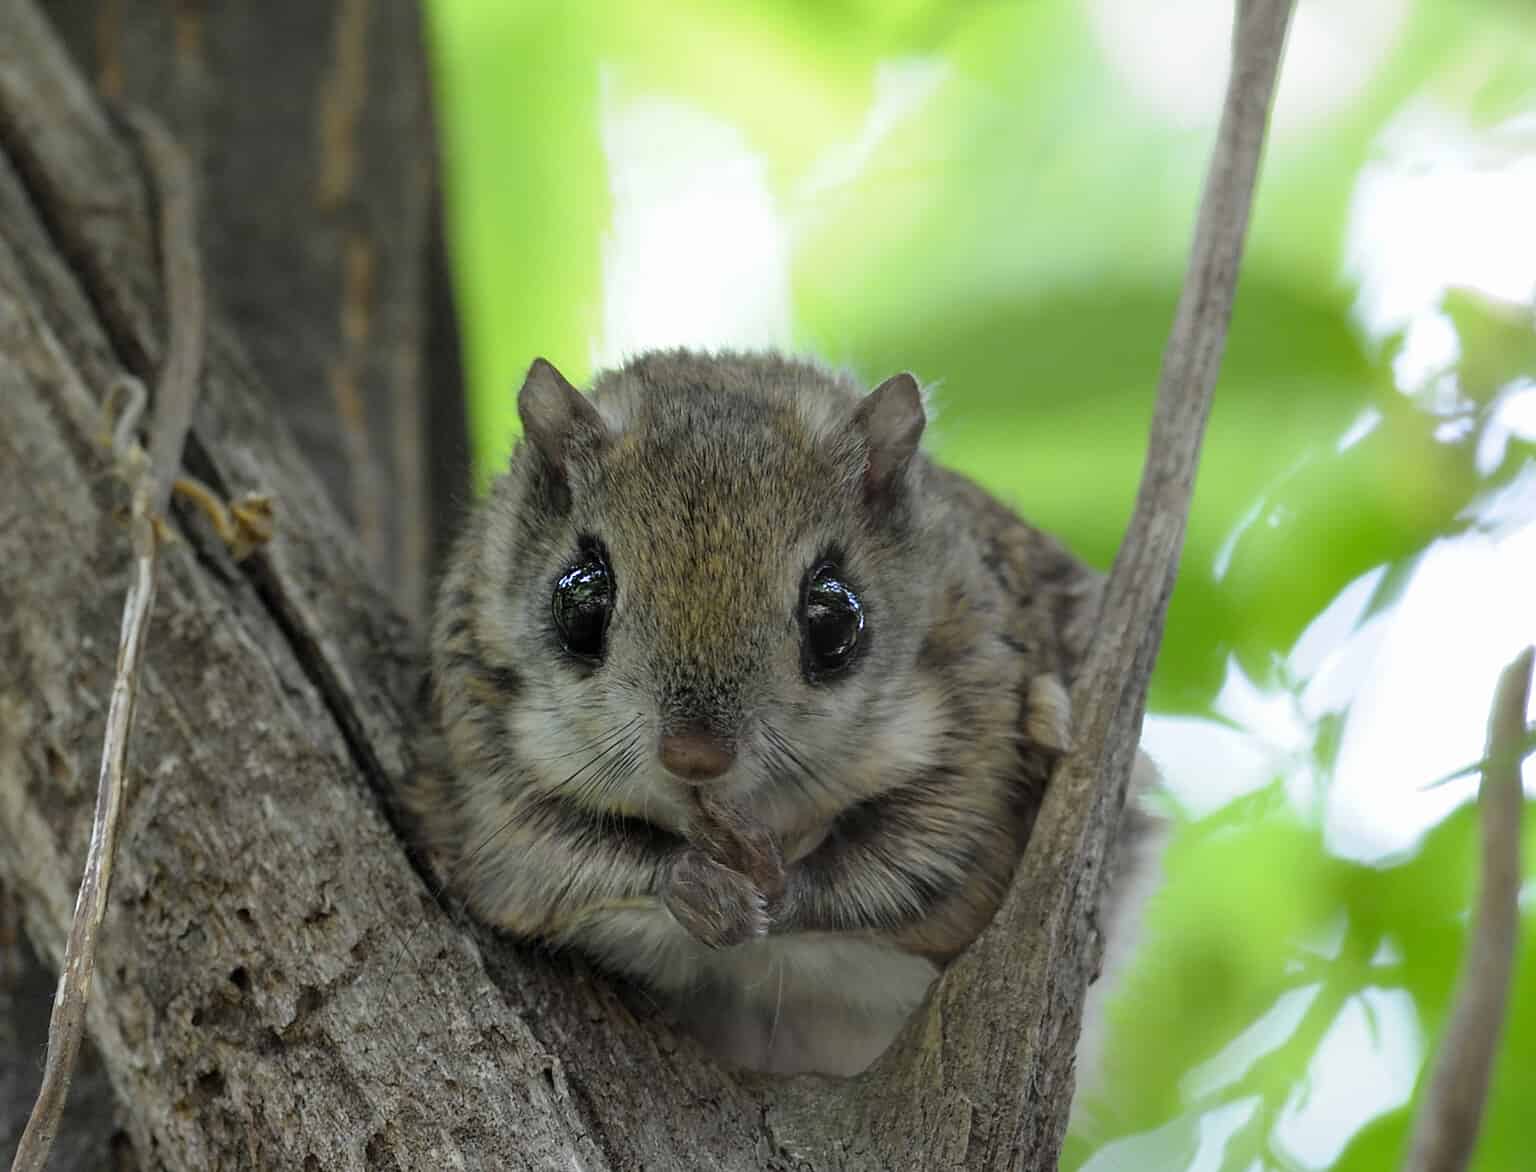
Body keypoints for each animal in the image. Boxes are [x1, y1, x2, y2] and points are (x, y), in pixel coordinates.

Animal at [402, 349, 1159, 1076]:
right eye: (580, 600)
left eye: (834, 616)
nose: (694, 757)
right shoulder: (480, 760)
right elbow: (544, 857)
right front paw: (693, 882)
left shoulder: (977, 726)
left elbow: (919, 854)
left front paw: (783, 889)